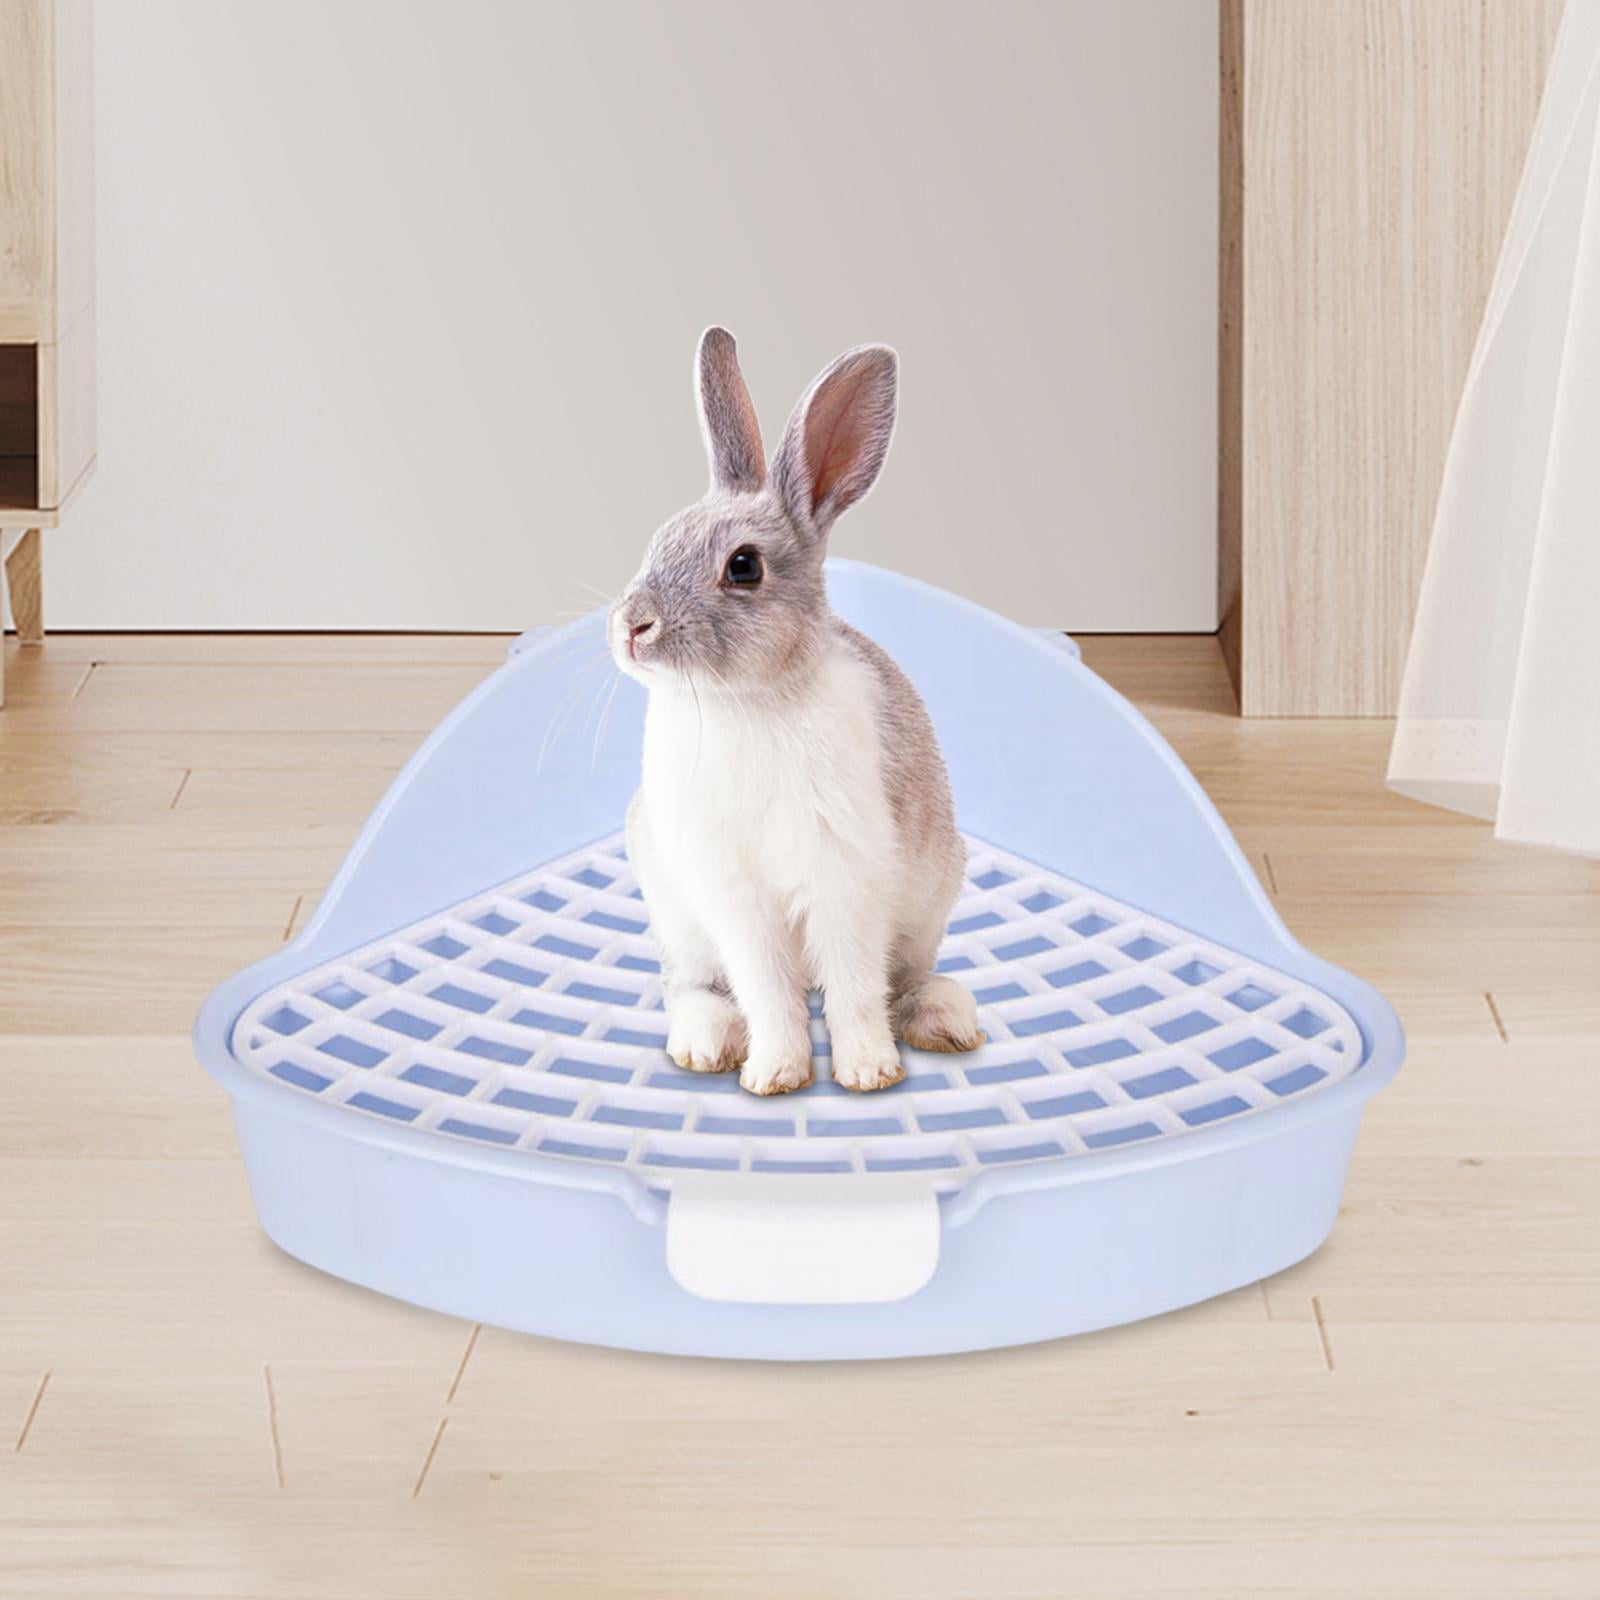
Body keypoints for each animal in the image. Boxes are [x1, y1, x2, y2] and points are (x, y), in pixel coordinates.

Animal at [607, 328, 983, 1095]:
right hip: (676, 916)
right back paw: (705, 1045)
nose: (632, 626)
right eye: (658, 540)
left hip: (930, 903)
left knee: (903, 979)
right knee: (691, 986)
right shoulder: (735, 897)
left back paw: (946, 1021)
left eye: (743, 566)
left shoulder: (846, 880)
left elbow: (853, 985)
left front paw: (869, 1072)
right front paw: (774, 1075)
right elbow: (766, 988)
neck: (746, 701)